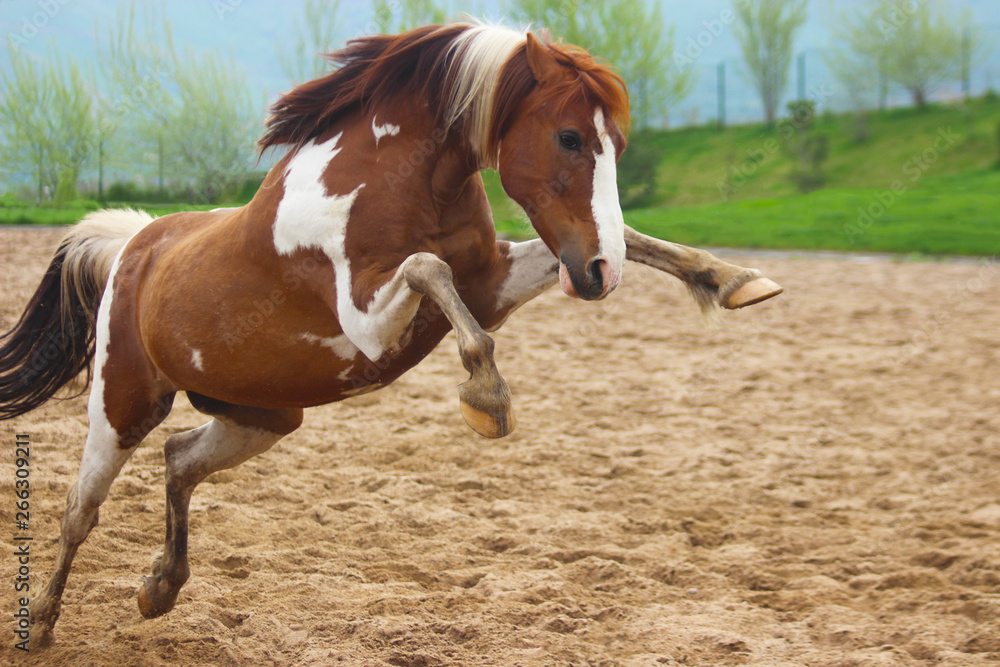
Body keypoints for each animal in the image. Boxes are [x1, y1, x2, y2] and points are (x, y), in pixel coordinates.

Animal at [0, 23, 782, 644]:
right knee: (79, 510)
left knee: (179, 459)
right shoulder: (372, 321)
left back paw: (159, 588)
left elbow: (638, 240)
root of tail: (133, 244)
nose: (597, 273)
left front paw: (734, 280)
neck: (389, 179)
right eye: (568, 138)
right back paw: (42, 624)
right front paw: (487, 398)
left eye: (616, 142)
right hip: (121, 405)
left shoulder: (490, 283)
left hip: (262, 417)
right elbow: (429, 268)